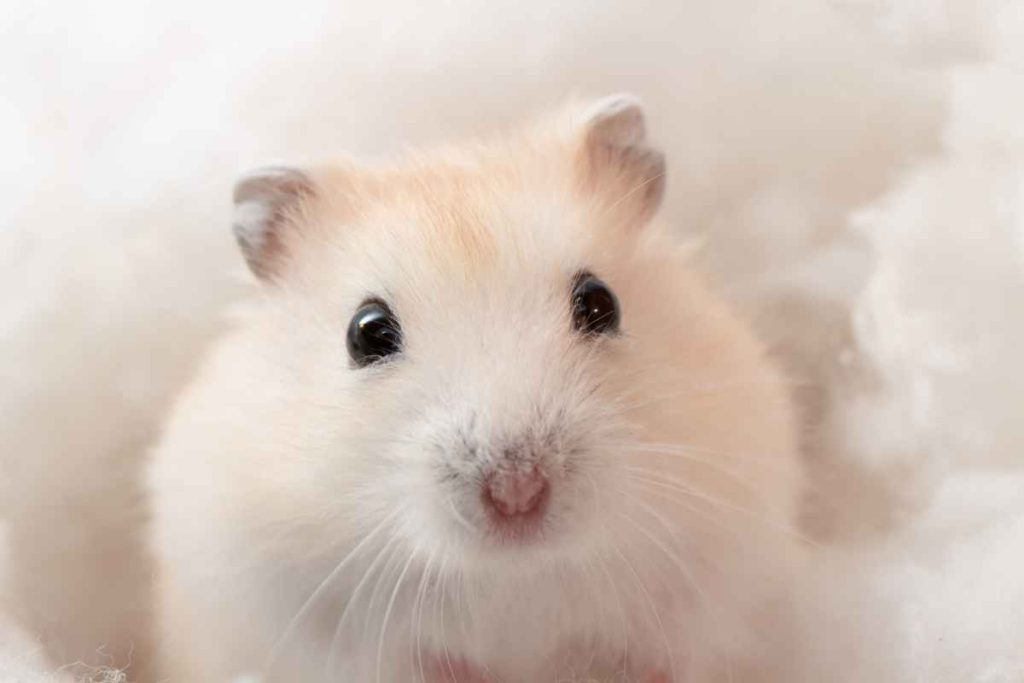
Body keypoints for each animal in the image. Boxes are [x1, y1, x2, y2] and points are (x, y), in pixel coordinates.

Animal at [148, 95, 803, 683]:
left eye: (600, 302)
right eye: (366, 333)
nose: (517, 493)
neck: (513, 573)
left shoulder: (706, 583)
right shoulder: (310, 613)